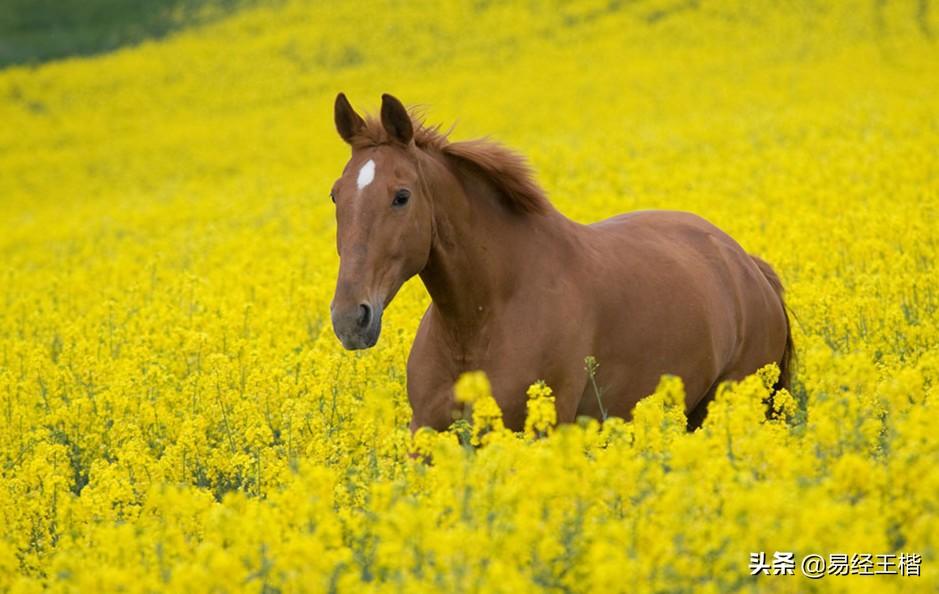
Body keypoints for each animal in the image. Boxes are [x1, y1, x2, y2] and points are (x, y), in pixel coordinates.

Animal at [330, 95, 792, 432]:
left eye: (401, 196)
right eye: (336, 194)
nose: (350, 319)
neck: (481, 318)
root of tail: (748, 266)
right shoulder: (426, 432)